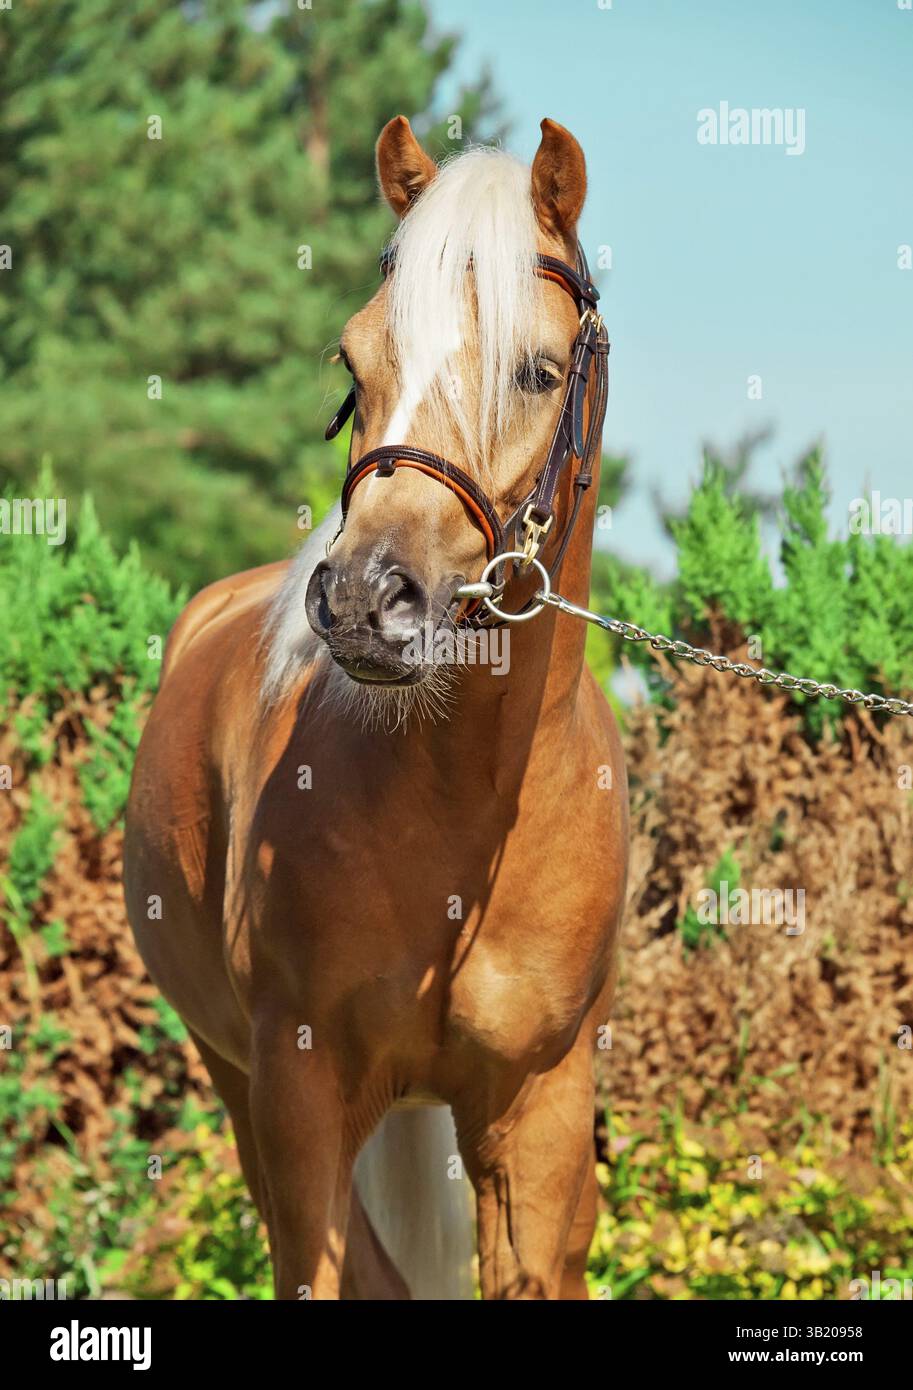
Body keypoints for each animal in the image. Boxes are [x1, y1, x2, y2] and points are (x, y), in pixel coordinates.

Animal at [124, 115, 629, 1300]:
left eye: (536, 371)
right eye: (354, 365)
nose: (362, 599)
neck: (469, 804)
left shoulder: (539, 1112)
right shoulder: (299, 1103)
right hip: (237, 1082)